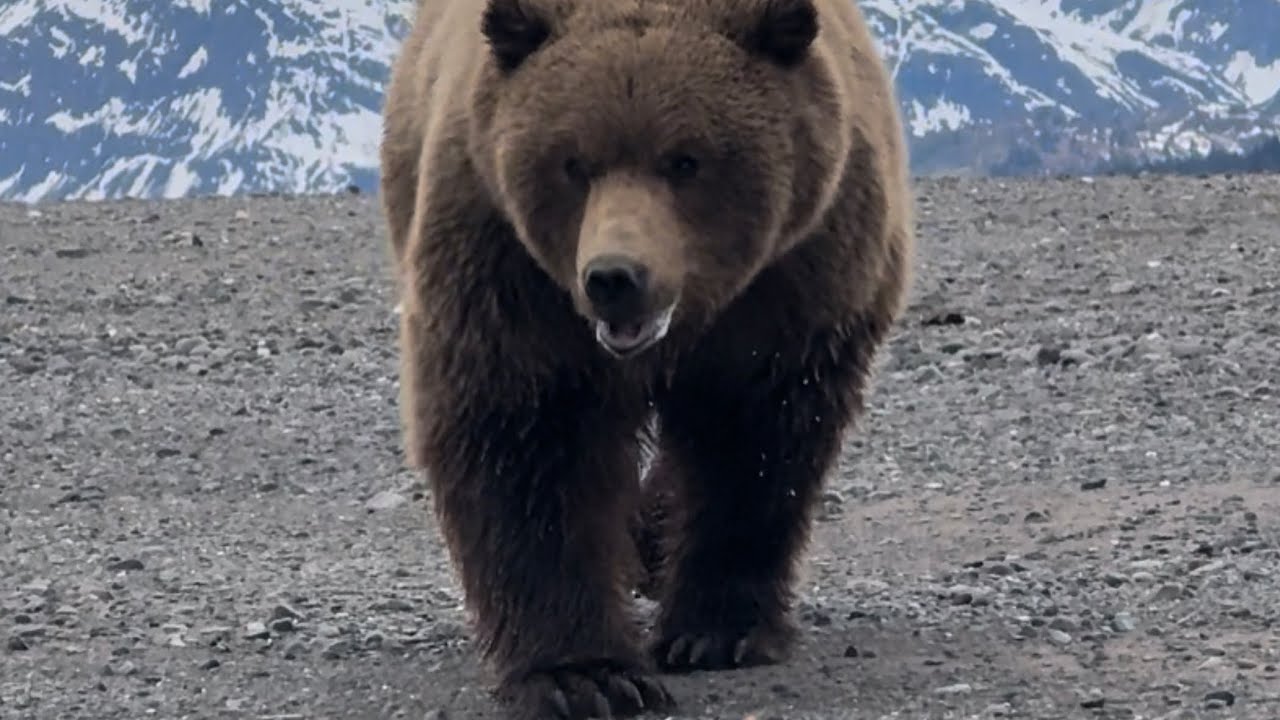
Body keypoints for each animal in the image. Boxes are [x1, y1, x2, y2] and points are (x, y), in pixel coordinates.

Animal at [378, 0, 913, 718]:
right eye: (573, 162)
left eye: (685, 160)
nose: (614, 276)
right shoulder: (507, 271)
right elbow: (524, 447)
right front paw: (585, 674)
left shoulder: (797, 280)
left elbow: (752, 448)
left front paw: (713, 631)